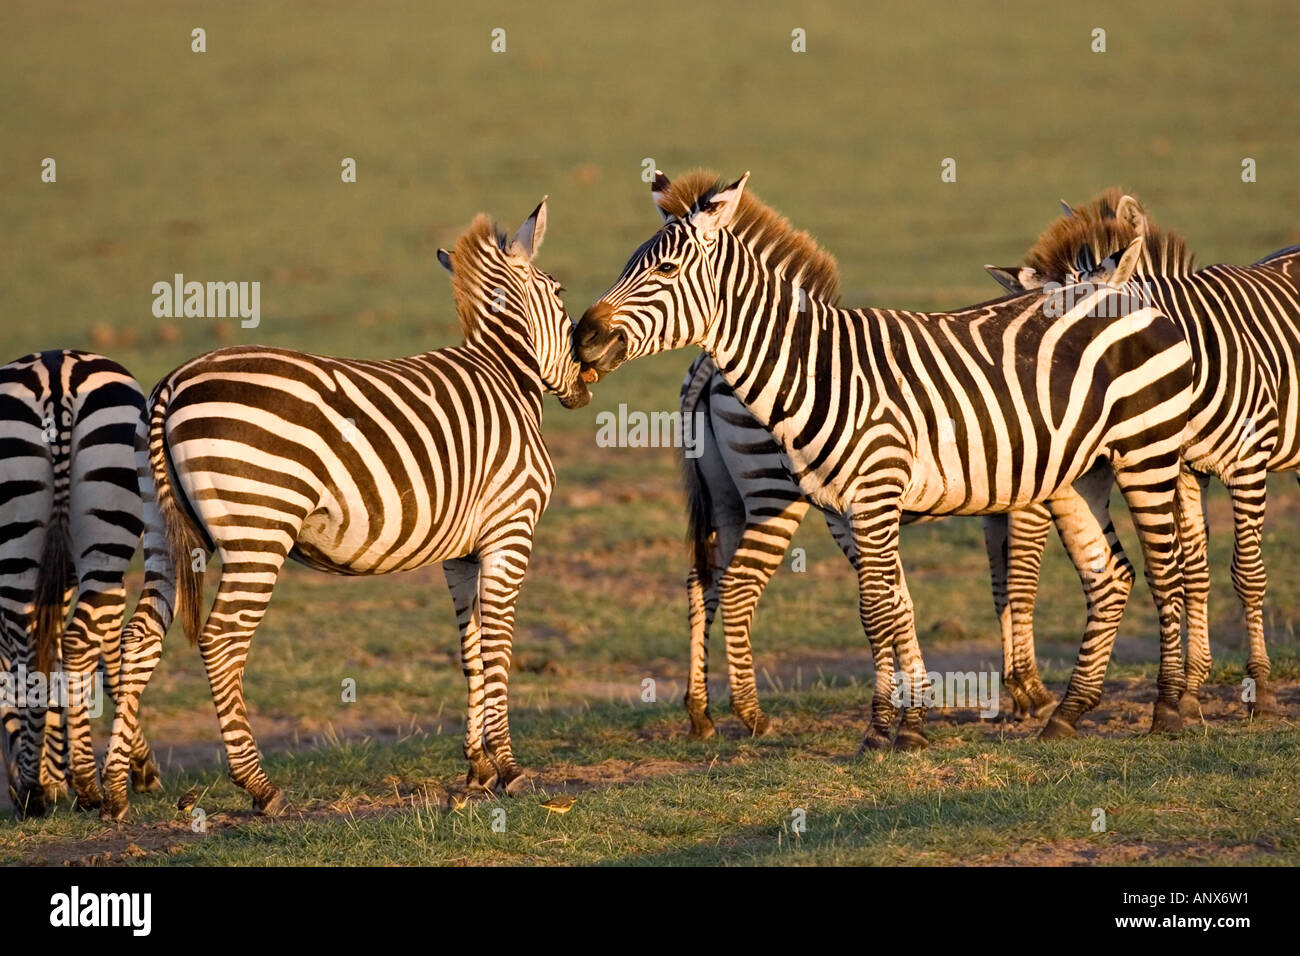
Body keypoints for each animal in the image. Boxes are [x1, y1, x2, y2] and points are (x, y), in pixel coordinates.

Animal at [1, 350, 163, 819]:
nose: (10, 786)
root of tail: (54, 373)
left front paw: (56, 773)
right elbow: (106, 655)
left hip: (19, 549)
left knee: (31, 649)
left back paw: (37, 789)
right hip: (102, 548)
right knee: (73, 640)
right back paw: (84, 787)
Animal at [98, 200, 591, 821]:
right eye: (561, 292)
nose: (583, 382)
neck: (505, 377)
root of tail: (172, 383)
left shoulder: (462, 552)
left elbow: (471, 648)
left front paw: (477, 767)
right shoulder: (510, 529)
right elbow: (498, 646)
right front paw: (508, 768)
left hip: (164, 533)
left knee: (138, 638)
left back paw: (115, 792)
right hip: (259, 531)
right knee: (222, 640)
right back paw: (259, 787)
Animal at [577, 169, 1194, 751]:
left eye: (665, 271)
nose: (583, 336)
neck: (816, 369)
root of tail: (1123, 296)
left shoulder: (883, 494)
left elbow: (890, 606)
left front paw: (885, 729)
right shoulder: (844, 509)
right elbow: (891, 608)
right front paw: (908, 725)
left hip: (1147, 452)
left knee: (1165, 569)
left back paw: (1167, 711)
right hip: (1085, 473)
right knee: (1110, 575)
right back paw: (1069, 714)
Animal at [984, 189, 1300, 719]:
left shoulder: (1247, 465)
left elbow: (1248, 574)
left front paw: (1261, 688)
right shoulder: (1186, 469)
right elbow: (1193, 572)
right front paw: (1190, 689)